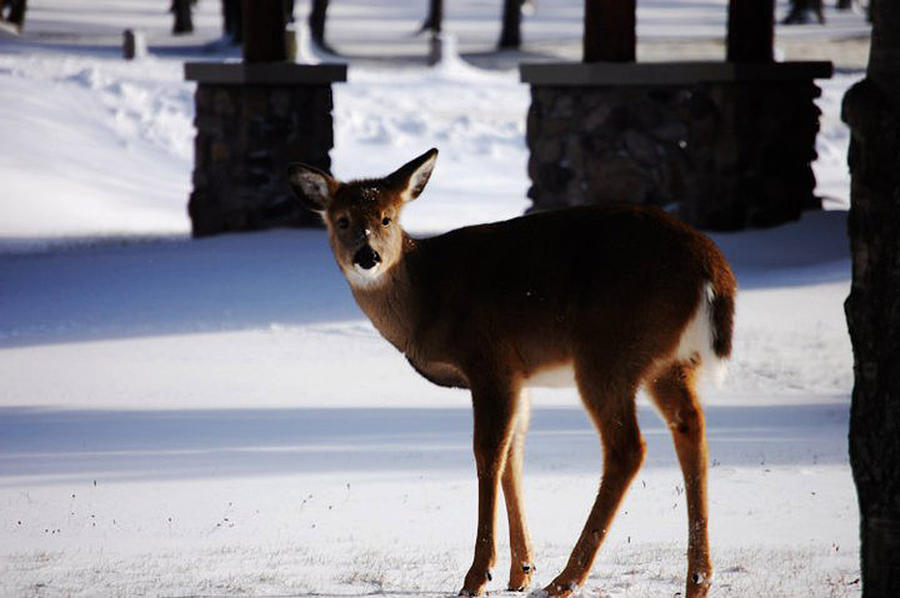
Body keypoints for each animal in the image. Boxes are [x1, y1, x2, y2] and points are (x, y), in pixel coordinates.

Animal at [287, 148, 736, 598]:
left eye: (387, 218)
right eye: (342, 219)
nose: (368, 257)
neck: (426, 300)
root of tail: (712, 269)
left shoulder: (490, 360)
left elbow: (488, 455)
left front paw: (478, 576)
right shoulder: (520, 376)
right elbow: (513, 456)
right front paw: (520, 571)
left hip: (607, 352)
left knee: (628, 448)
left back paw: (565, 581)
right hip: (669, 361)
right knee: (691, 429)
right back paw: (698, 579)